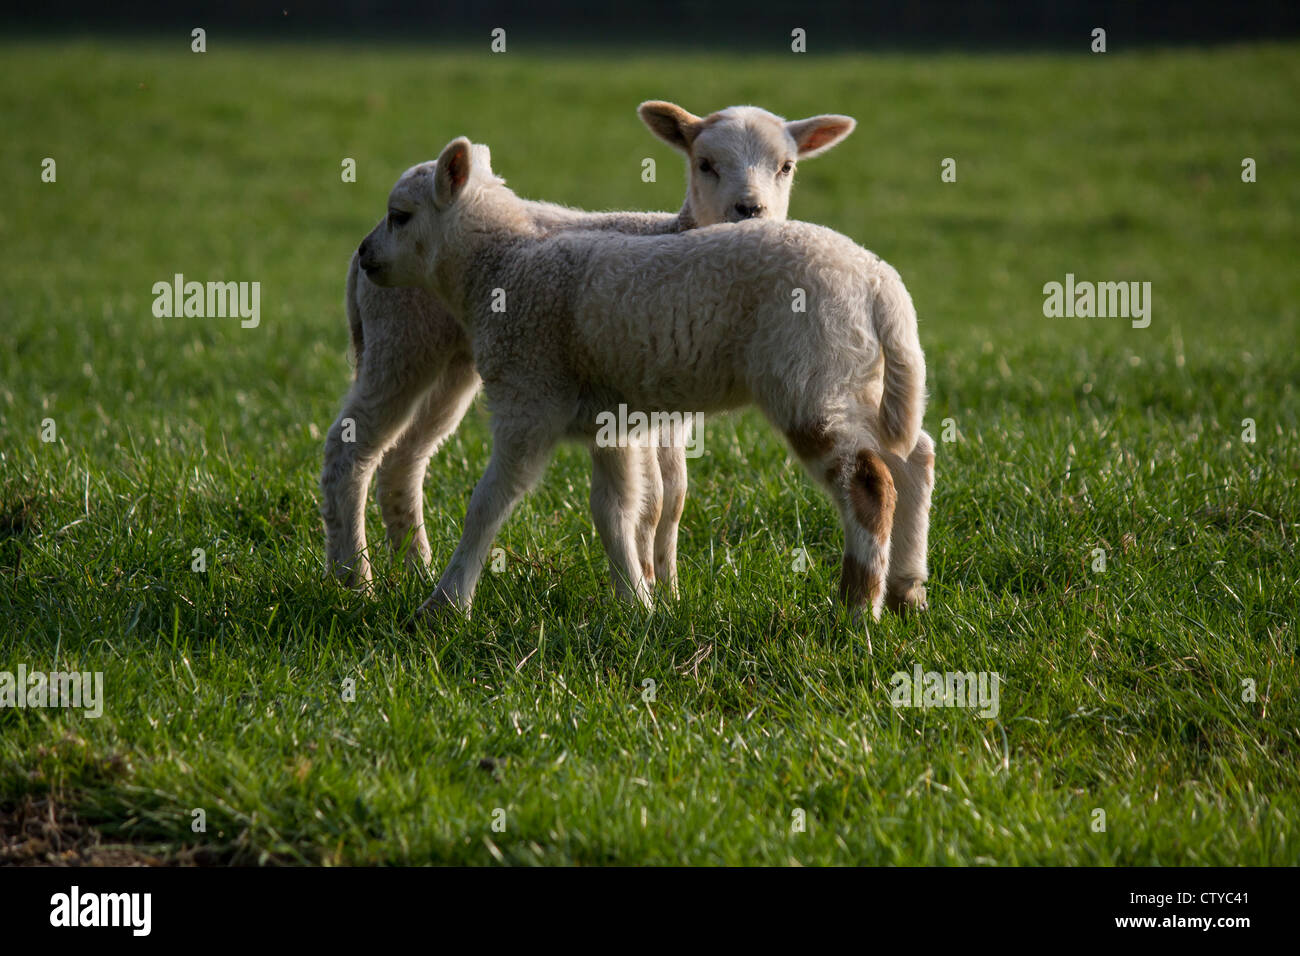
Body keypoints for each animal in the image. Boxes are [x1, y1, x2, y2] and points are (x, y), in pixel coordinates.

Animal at [355, 137, 932, 623]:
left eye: (399, 216)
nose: (363, 256)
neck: (499, 269)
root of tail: (880, 282)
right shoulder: (608, 424)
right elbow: (615, 511)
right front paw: (636, 601)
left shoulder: (529, 399)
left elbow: (489, 504)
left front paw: (445, 605)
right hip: (857, 376)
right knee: (912, 457)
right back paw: (904, 592)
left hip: (810, 378)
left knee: (869, 482)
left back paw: (856, 612)